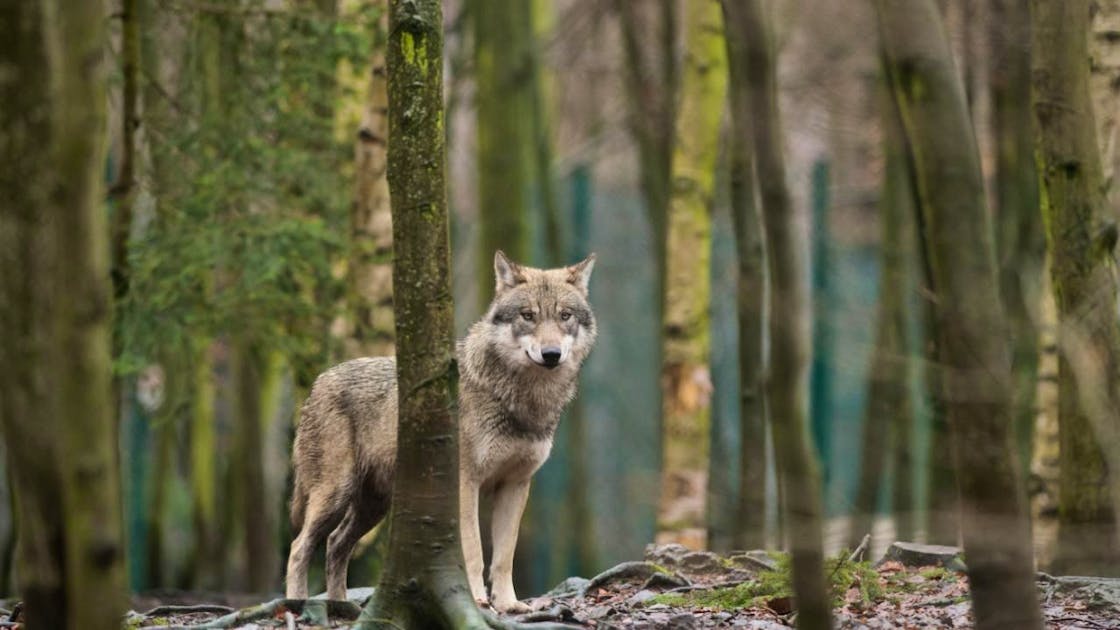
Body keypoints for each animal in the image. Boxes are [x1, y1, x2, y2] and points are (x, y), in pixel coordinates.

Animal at [285, 251, 596, 613]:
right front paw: (476, 600)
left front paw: (508, 605)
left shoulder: (515, 485)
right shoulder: (465, 483)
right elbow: (474, 550)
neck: (521, 399)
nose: (551, 354)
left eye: (565, 316)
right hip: (335, 495)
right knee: (299, 547)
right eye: (528, 316)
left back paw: (341, 606)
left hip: (373, 507)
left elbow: (504, 556)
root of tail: (318, 381)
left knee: (335, 544)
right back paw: (297, 604)